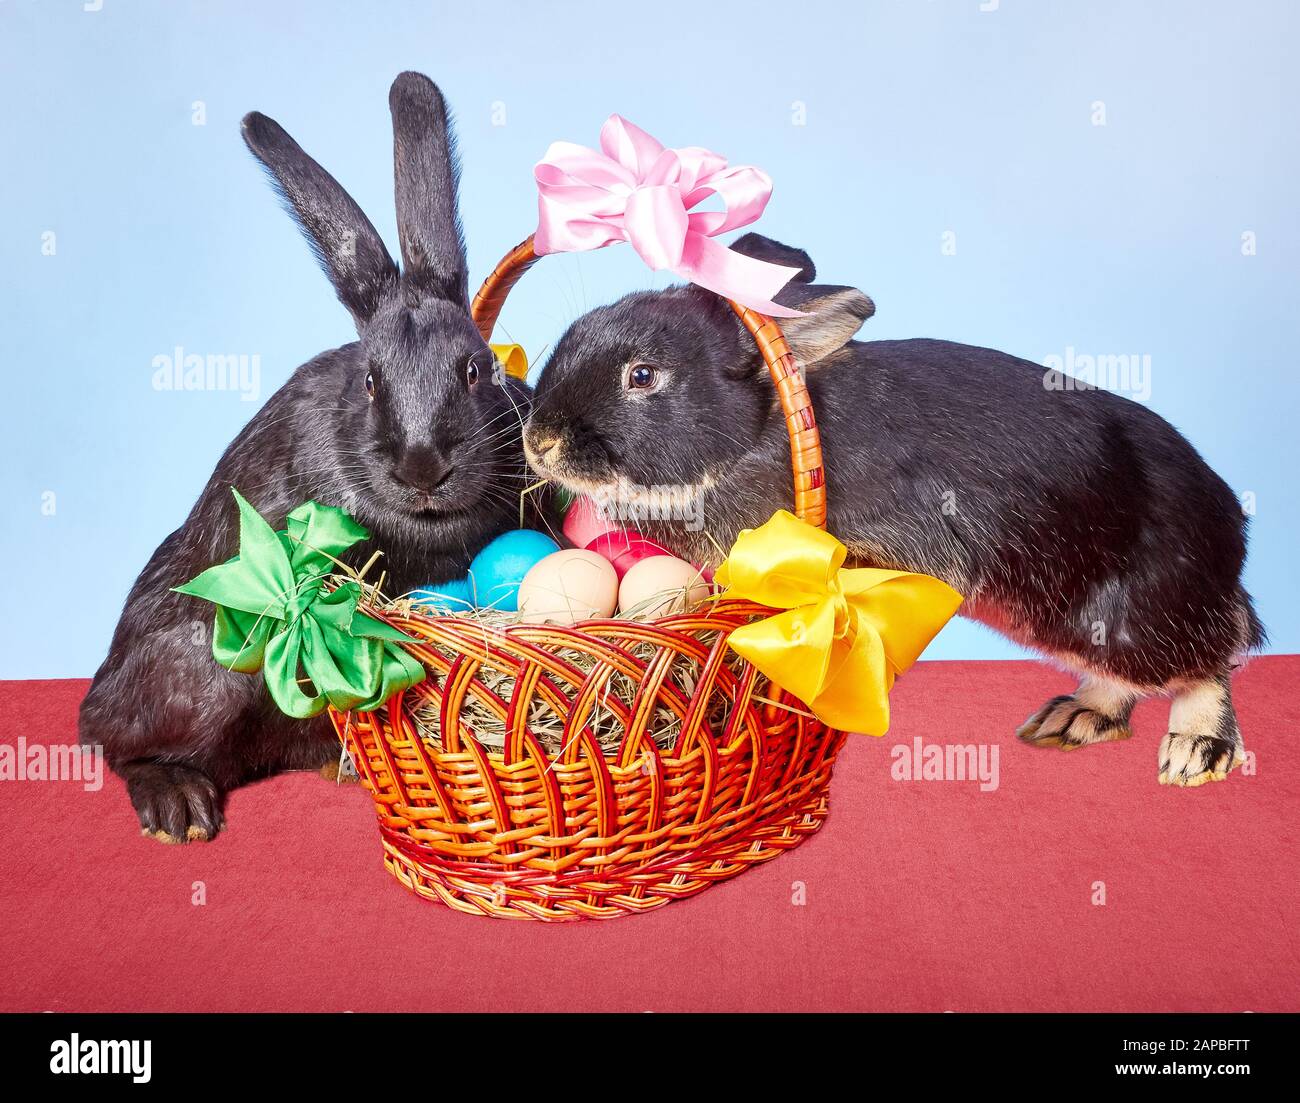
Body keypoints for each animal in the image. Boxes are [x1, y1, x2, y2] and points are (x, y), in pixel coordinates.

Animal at [80, 72, 540, 843]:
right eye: (372, 381)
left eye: (475, 370)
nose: (422, 468)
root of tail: (97, 691)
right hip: (202, 671)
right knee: (124, 749)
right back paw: (178, 807)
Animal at [522, 233, 1264, 788]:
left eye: (643, 376)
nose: (540, 440)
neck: (753, 435)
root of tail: (1231, 530)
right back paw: (1074, 717)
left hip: (1123, 613)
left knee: (1211, 659)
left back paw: (1196, 749)